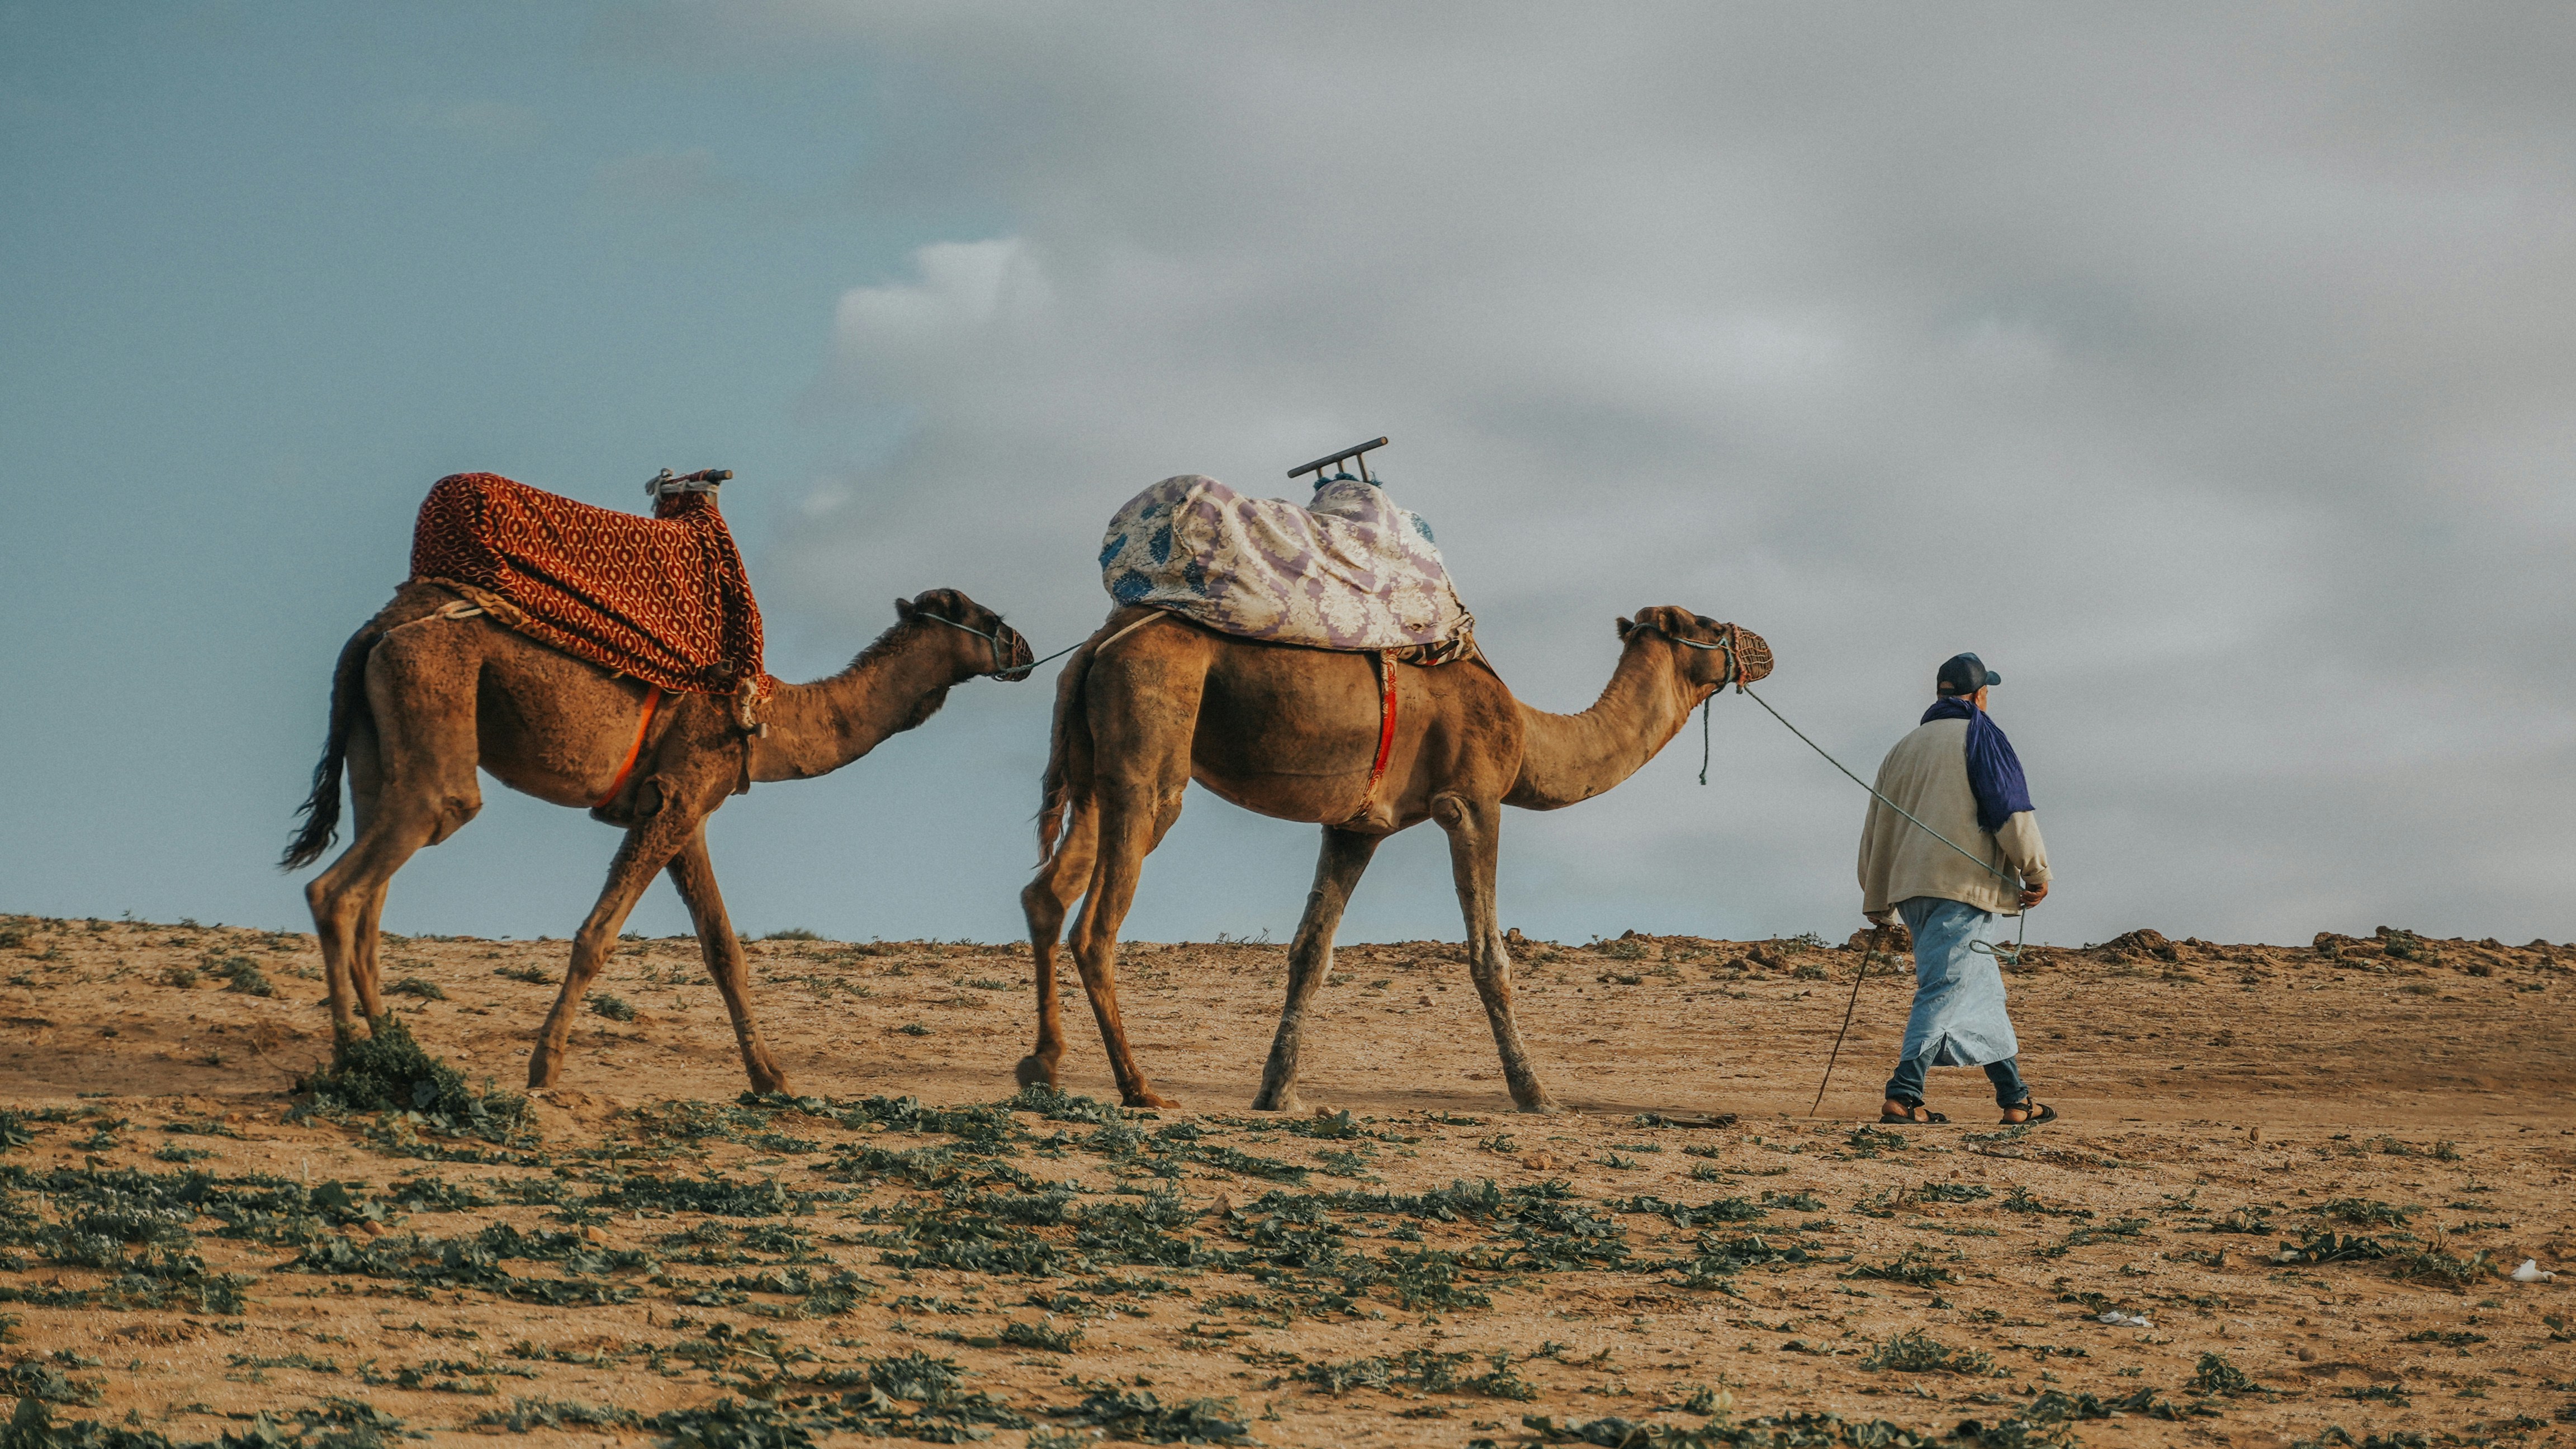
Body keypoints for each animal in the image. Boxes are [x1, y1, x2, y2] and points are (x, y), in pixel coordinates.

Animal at [283, 583, 1031, 1093]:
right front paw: (544, 1068)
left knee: (370, 892)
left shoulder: (687, 811)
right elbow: (597, 936)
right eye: (982, 616)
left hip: (377, 750)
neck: (769, 719)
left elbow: (725, 950)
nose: (1024, 649)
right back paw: (354, 1062)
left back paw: (399, 1054)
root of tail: (377, 631)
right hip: (434, 727)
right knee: (341, 888)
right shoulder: (677, 796)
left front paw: (772, 1080)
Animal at [1015, 603, 1772, 1113]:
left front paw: (1278, 1092)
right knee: (1097, 923)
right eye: (1708, 622)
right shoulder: (1472, 800)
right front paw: (1537, 1095)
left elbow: (1311, 952)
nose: (1762, 647)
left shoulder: (1357, 827)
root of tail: (1097, 647)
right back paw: (1139, 1088)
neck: (1529, 735)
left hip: (1095, 769)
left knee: (1045, 895)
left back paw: (1044, 1066)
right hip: (1151, 750)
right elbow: (1490, 958)